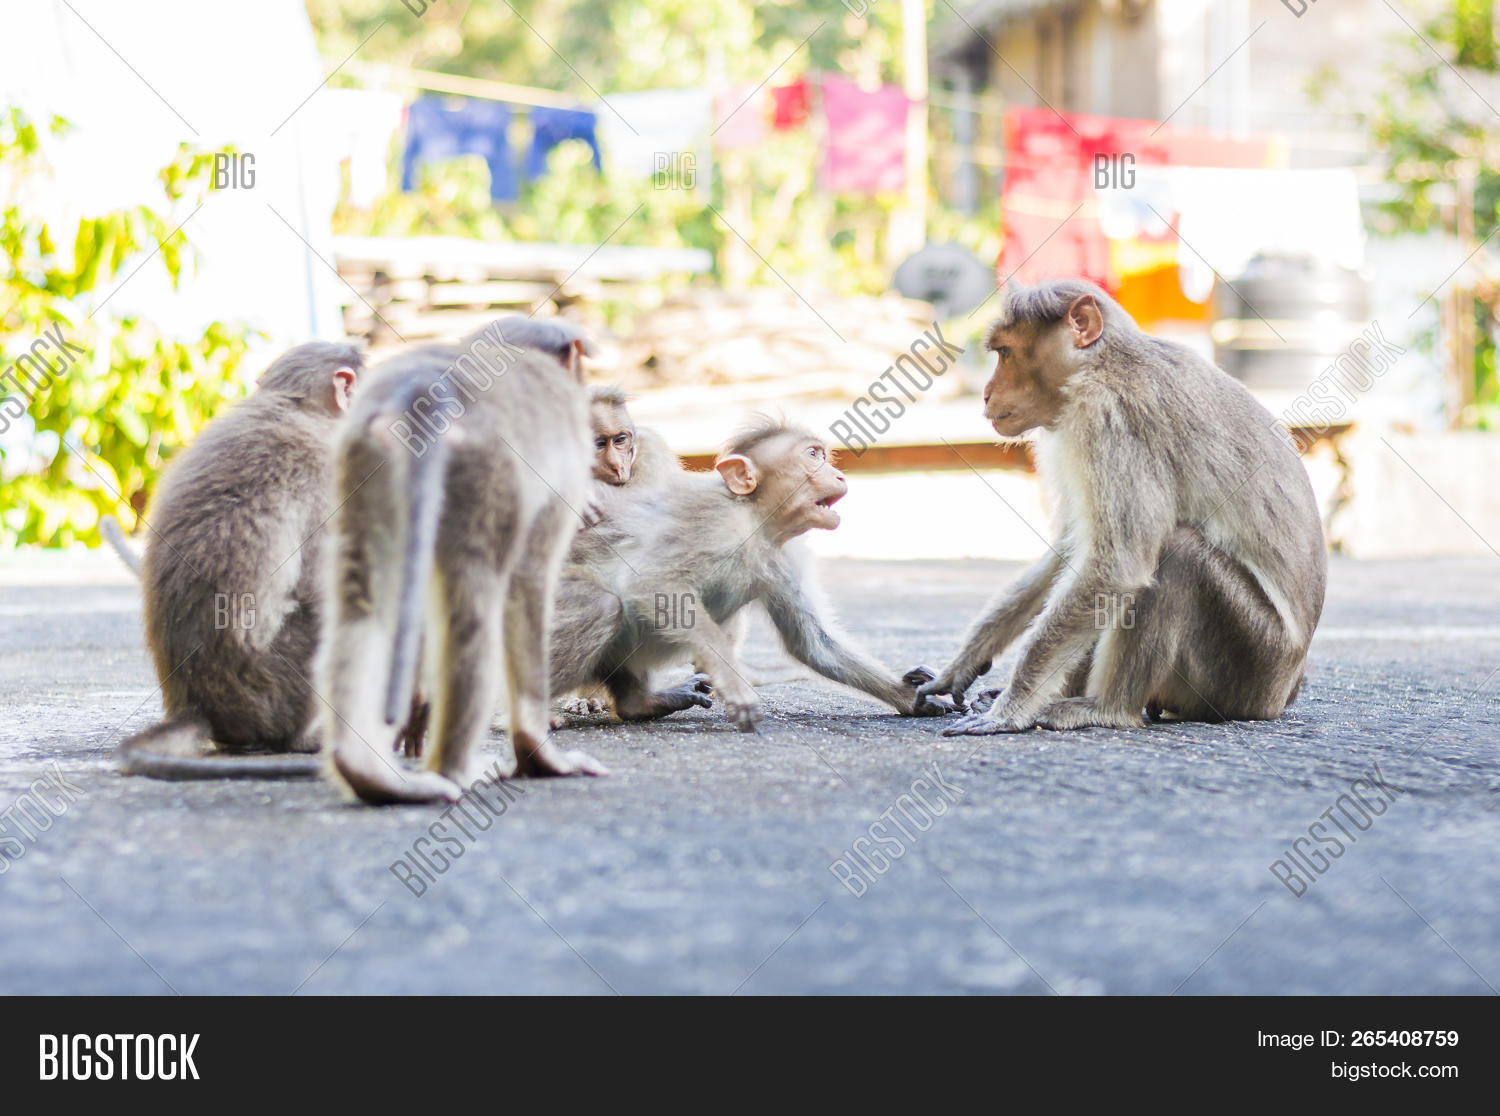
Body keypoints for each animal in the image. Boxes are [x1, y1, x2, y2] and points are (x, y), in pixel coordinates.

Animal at [118, 341, 365, 779]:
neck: (295, 405)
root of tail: (199, 706)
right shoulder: (325, 475)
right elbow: (321, 589)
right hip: (274, 686)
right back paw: (306, 739)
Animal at [318, 315, 607, 805]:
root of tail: (424, 387)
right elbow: (528, 582)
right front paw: (539, 753)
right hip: (488, 464)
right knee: (476, 605)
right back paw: (457, 769)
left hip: (362, 453)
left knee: (363, 600)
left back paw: (367, 773)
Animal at [548, 416, 953, 731]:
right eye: (812, 456)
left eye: (823, 455)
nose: (838, 474)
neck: (755, 520)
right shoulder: (713, 522)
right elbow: (650, 584)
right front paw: (732, 679)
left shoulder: (785, 557)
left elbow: (813, 643)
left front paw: (914, 697)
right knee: (602, 605)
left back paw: (639, 703)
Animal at [915, 279, 1327, 736]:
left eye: (1005, 353)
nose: (986, 393)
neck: (1101, 364)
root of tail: (1283, 694)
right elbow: (1071, 550)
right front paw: (961, 666)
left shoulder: (1111, 418)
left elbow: (1118, 566)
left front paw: (1009, 711)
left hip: (1248, 665)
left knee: (1178, 553)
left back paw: (1108, 709)